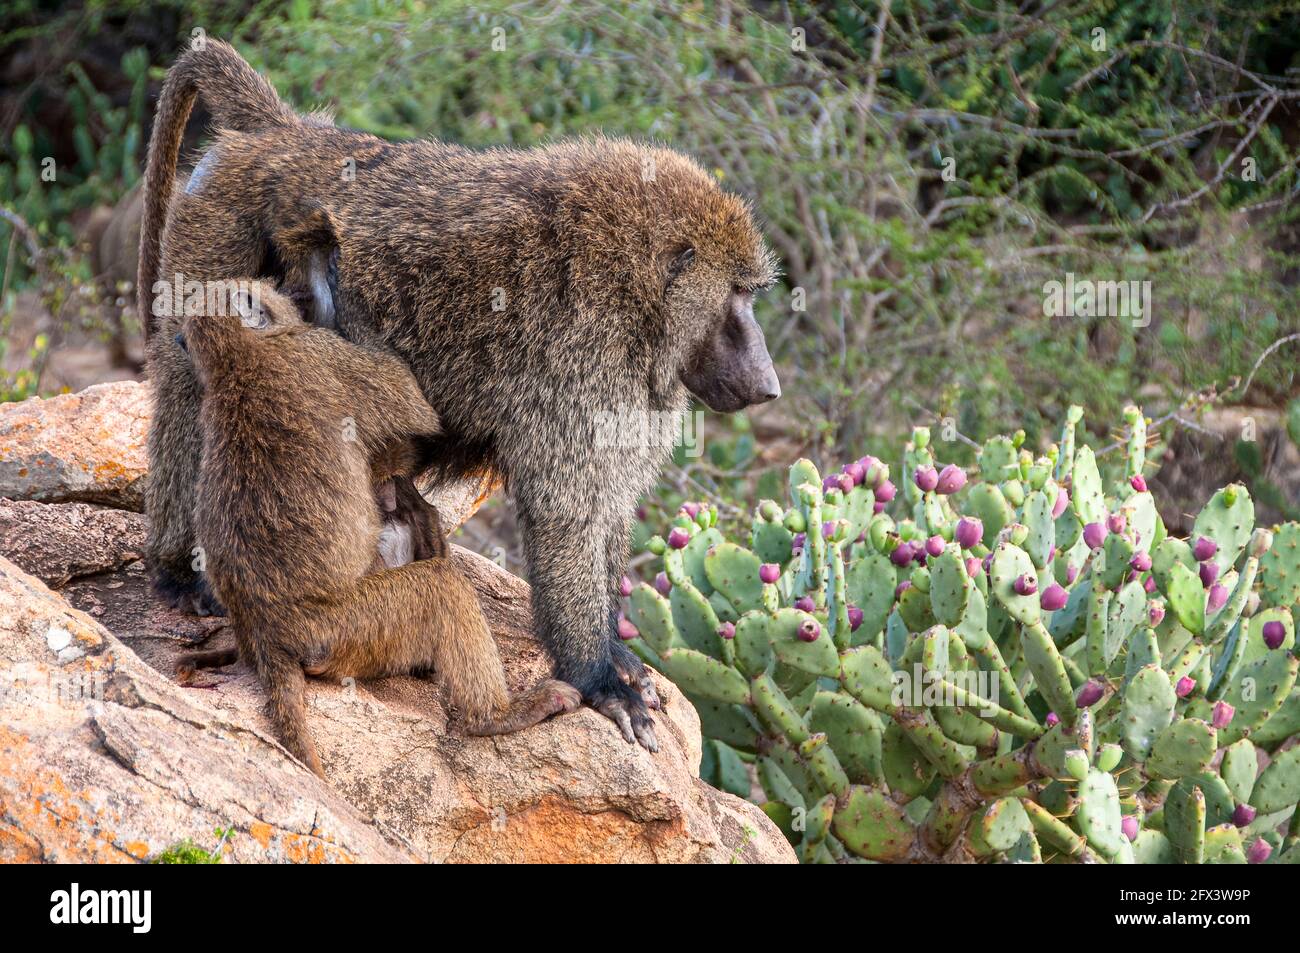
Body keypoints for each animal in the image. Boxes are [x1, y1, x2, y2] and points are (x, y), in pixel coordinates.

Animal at [174, 278, 580, 777]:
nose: (283, 291)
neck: (236, 358)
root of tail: (267, 636)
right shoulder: (327, 353)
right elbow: (414, 407)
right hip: (348, 631)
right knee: (440, 588)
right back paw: (495, 717)